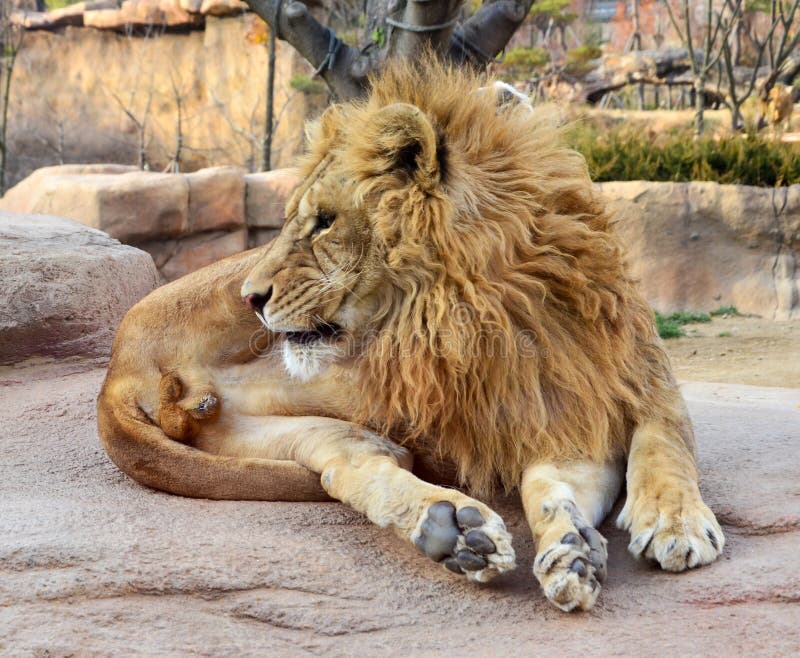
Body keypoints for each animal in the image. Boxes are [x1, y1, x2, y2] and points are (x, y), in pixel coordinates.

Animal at [97, 59, 724, 612]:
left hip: (278, 430)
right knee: (352, 468)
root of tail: (115, 369)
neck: (489, 311)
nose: (254, 298)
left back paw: (451, 529)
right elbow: (657, 440)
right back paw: (454, 532)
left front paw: (623, 537)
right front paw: (661, 529)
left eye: (324, 221)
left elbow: (656, 443)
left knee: (348, 460)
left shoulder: (587, 394)